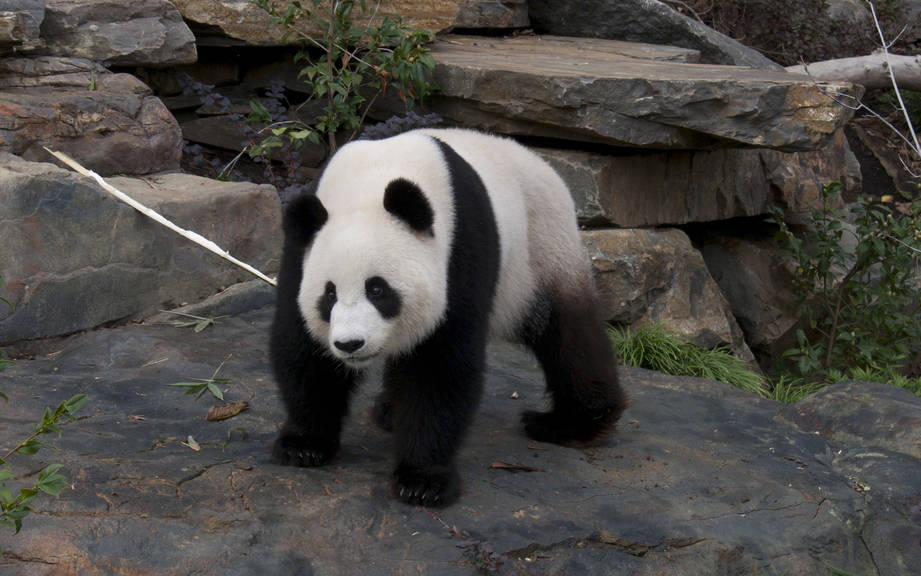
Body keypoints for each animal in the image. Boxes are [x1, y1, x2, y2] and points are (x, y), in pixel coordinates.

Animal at [270, 128, 626, 506]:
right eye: (329, 295)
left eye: (377, 289)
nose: (350, 344)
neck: (372, 183)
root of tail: (544, 165)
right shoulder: (300, 253)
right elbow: (304, 349)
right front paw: (304, 444)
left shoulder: (460, 247)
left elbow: (440, 364)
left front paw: (422, 480)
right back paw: (390, 411)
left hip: (541, 247)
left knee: (568, 333)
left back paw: (571, 423)